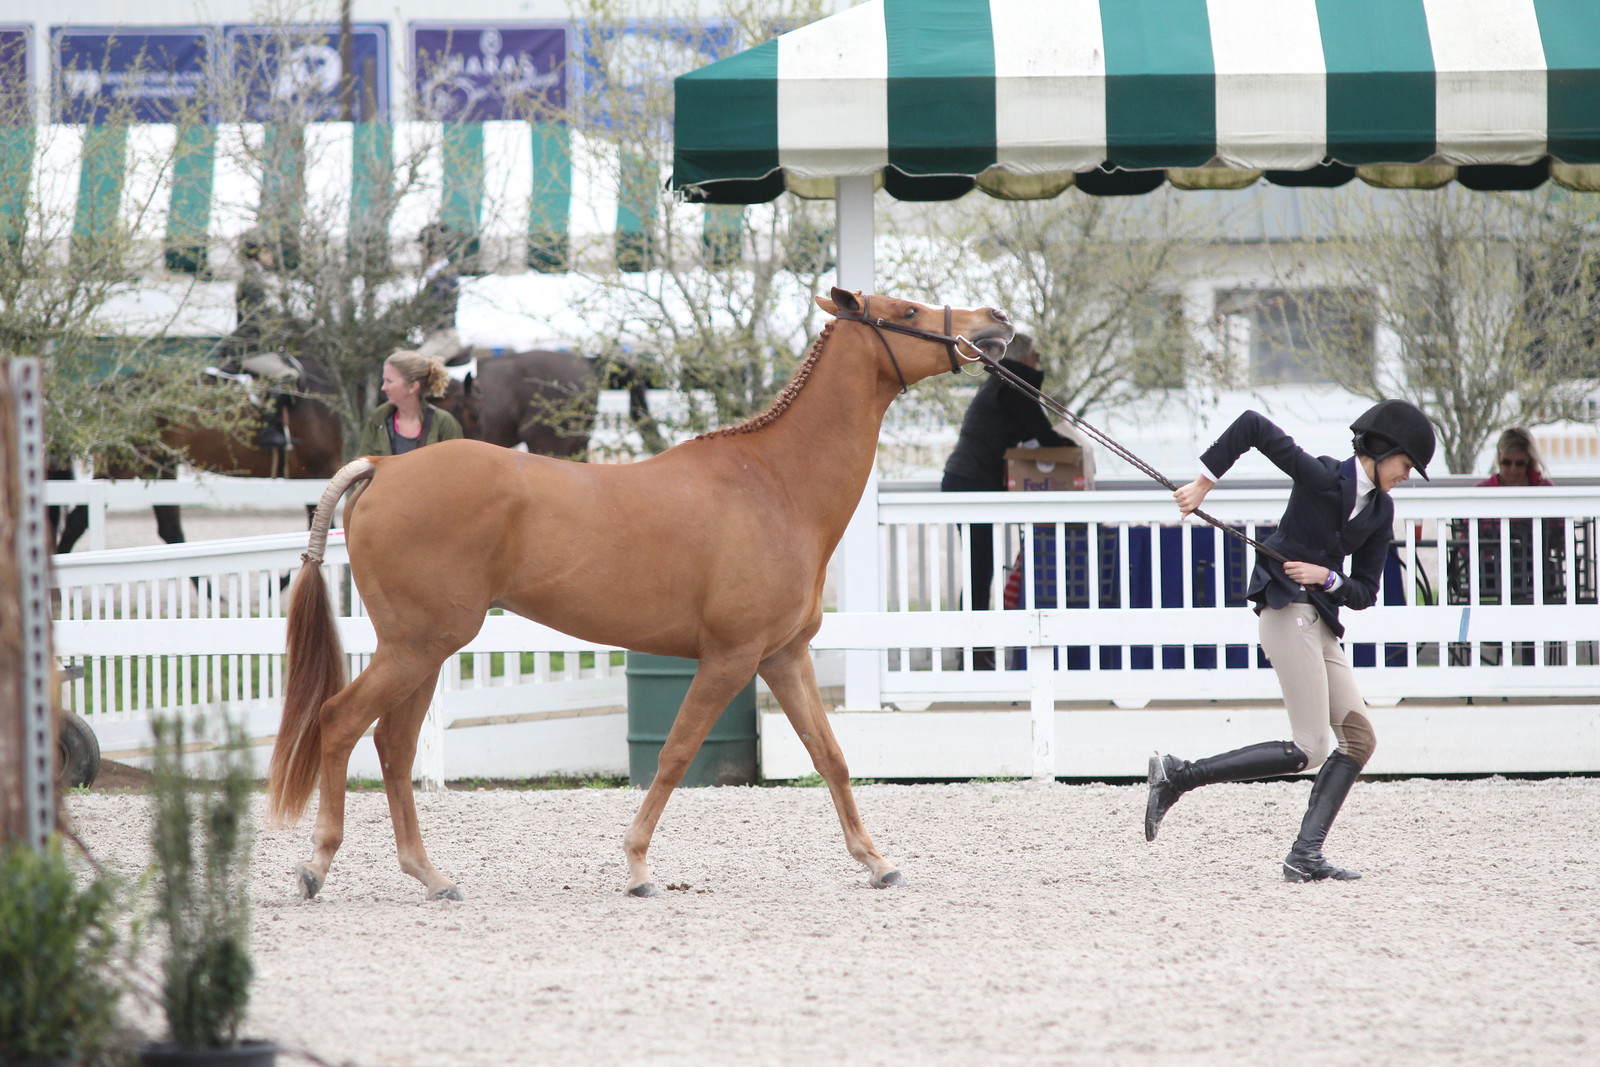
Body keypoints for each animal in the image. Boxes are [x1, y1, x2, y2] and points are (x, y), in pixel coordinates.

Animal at [268, 288, 1013, 900]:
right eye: (908, 310)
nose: (996, 322)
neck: (774, 484)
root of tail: (384, 467)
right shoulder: (730, 659)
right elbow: (677, 753)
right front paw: (636, 867)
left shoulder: (783, 657)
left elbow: (829, 754)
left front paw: (877, 861)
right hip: (414, 648)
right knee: (339, 722)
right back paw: (316, 866)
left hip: (423, 649)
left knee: (393, 746)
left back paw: (431, 875)